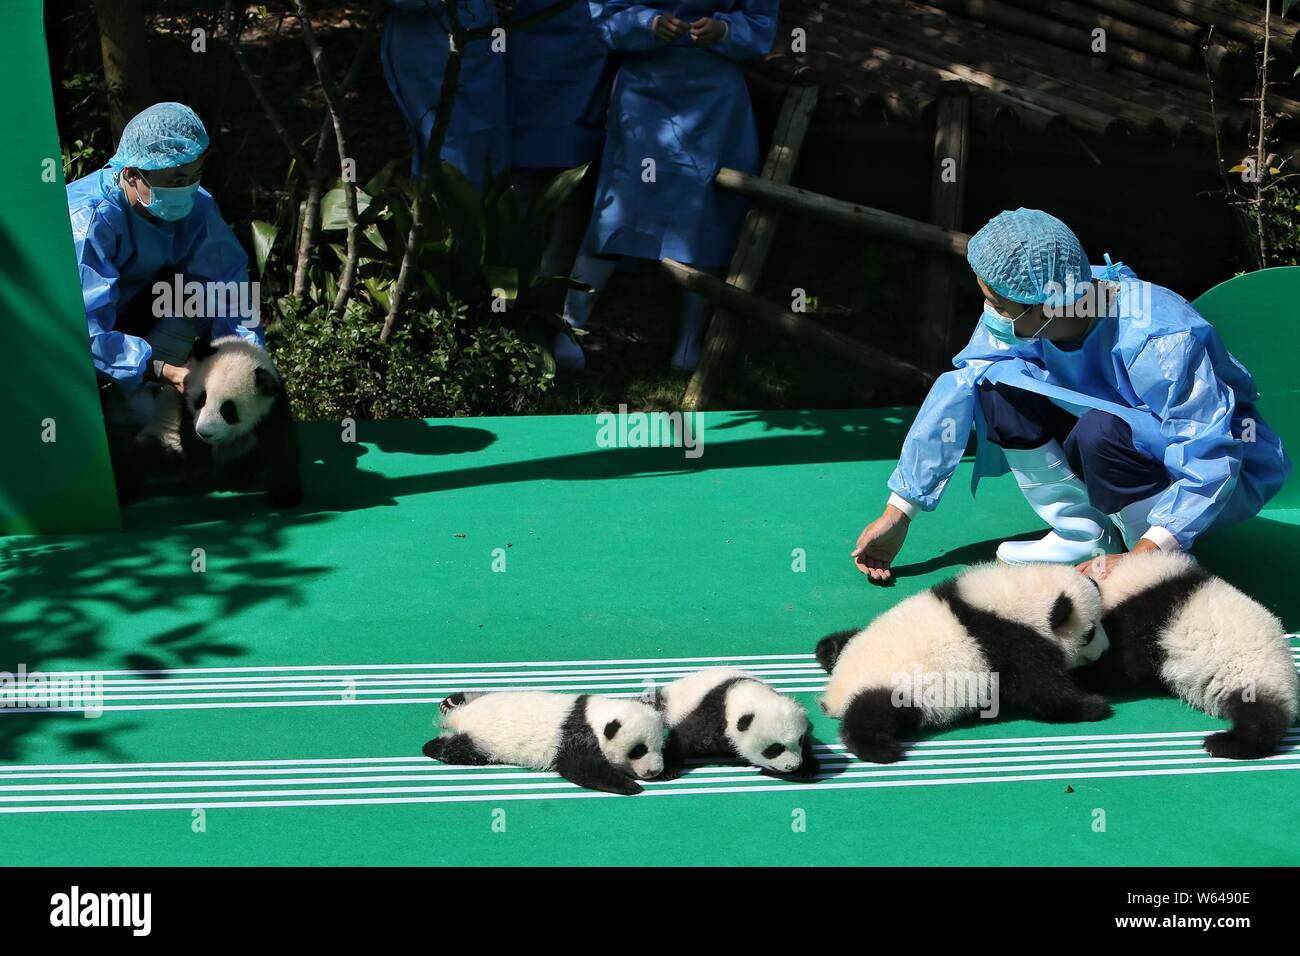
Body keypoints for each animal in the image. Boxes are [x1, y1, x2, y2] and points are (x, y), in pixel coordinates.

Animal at [113, 336, 302, 509]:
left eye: (228, 410)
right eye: (201, 399)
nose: (204, 433)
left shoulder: (272, 403)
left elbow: (279, 445)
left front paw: (283, 497)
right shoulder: (184, 399)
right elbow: (191, 438)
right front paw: (198, 478)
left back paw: (242, 469)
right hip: (166, 438)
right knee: (143, 454)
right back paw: (125, 493)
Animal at [423, 690, 666, 795]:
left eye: (658, 746)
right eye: (638, 751)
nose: (655, 771)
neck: (592, 716)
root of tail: (460, 717)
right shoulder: (574, 736)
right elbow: (581, 768)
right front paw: (630, 786)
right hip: (481, 739)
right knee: (457, 748)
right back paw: (434, 746)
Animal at [654, 668, 818, 780]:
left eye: (799, 740)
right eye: (775, 748)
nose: (794, 765)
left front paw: (807, 767)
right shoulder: (709, 716)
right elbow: (682, 737)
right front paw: (667, 769)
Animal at [815, 562, 1111, 763]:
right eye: (1090, 632)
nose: (1105, 650)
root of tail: (834, 696)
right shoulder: (1012, 647)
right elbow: (1042, 691)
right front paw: (1093, 705)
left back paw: (830, 650)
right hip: (894, 690)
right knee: (870, 713)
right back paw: (881, 748)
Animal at [1075, 551, 1298, 760]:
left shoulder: (1149, 619)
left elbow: (1122, 662)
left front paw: (1084, 676)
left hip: (1251, 673)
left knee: (1261, 716)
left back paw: (1223, 743)